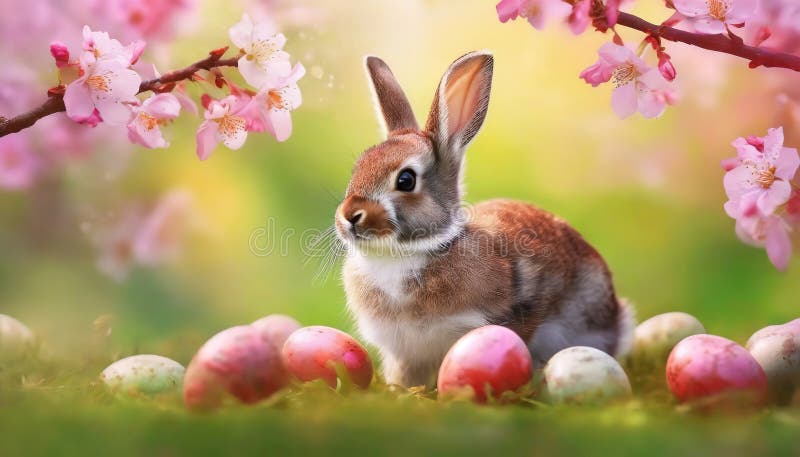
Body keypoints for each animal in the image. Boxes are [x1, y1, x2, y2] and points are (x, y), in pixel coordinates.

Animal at [334, 51, 636, 388]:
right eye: (358, 168)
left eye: (406, 180)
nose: (349, 217)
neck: (405, 254)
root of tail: (618, 318)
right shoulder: (403, 354)